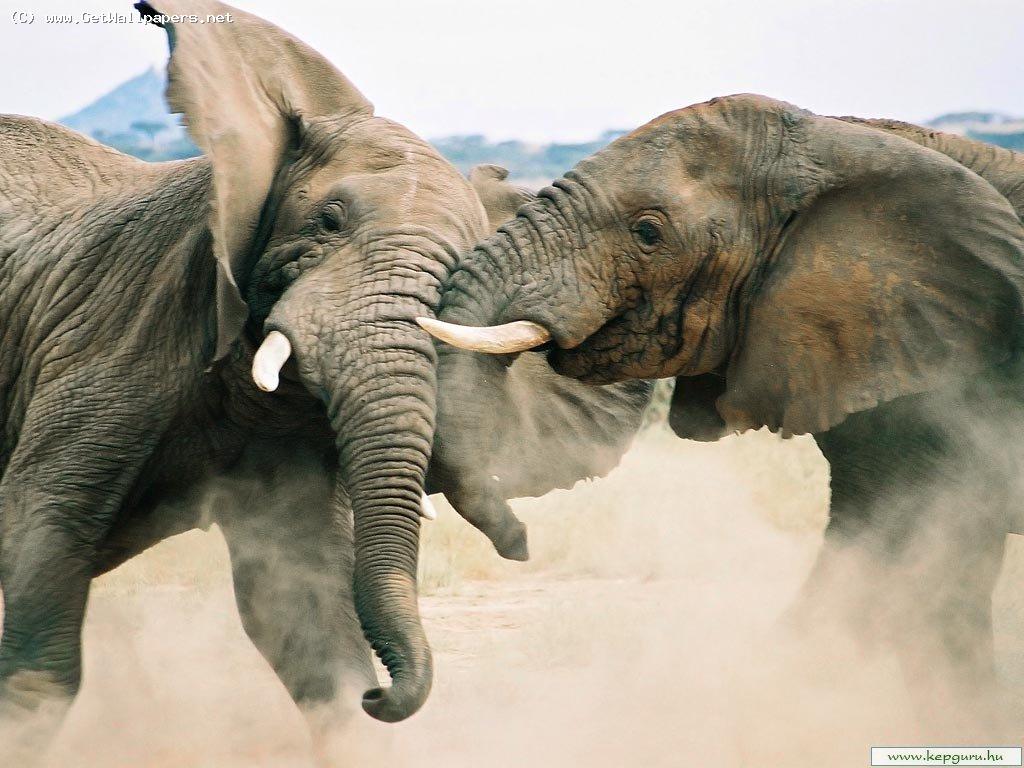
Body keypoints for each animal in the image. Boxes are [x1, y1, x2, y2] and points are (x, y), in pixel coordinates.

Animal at [0, 0, 650, 757]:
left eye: (463, 266)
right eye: (328, 221)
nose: (385, 694)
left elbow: (301, 609)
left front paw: (355, 700)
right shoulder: (114, 335)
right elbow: (41, 534)